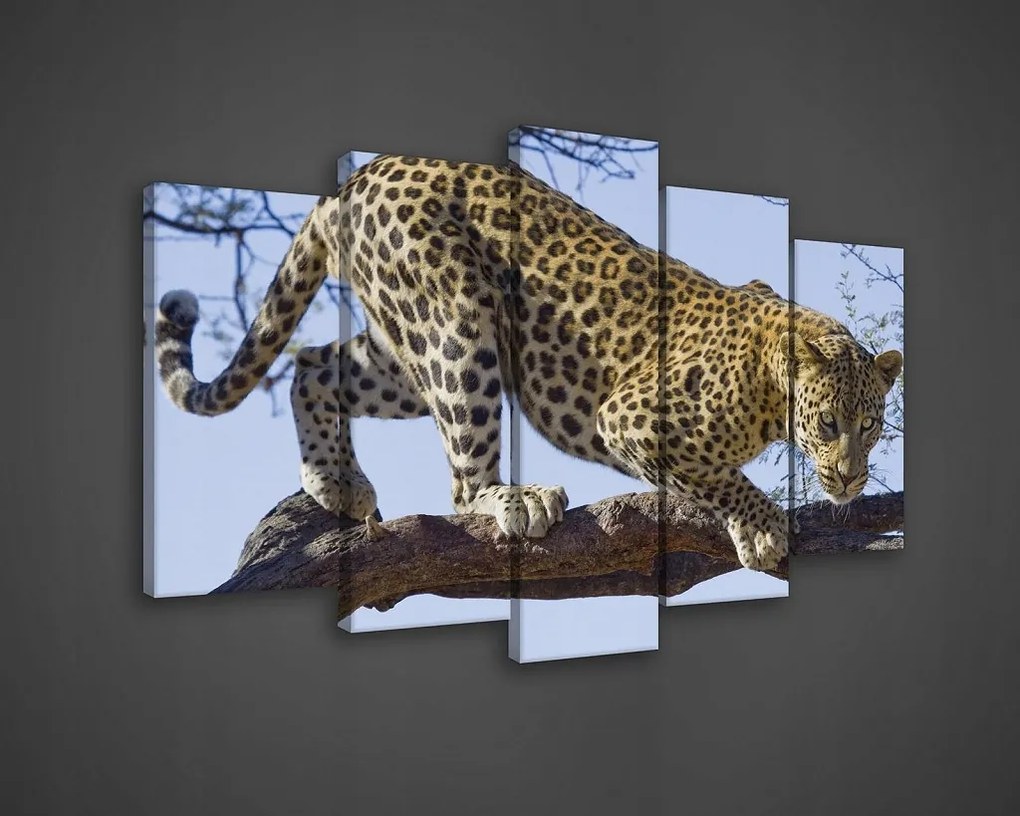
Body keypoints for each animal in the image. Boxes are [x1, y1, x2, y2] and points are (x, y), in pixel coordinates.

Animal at [155, 154, 903, 572]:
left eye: (870, 427)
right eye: (829, 424)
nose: (850, 478)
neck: (770, 386)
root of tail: (360, 174)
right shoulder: (628, 416)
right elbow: (720, 477)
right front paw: (763, 525)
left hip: (409, 346)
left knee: (313, 363)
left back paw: (334, 481)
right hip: (457, 323)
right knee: (461, 485)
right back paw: (517, 498)